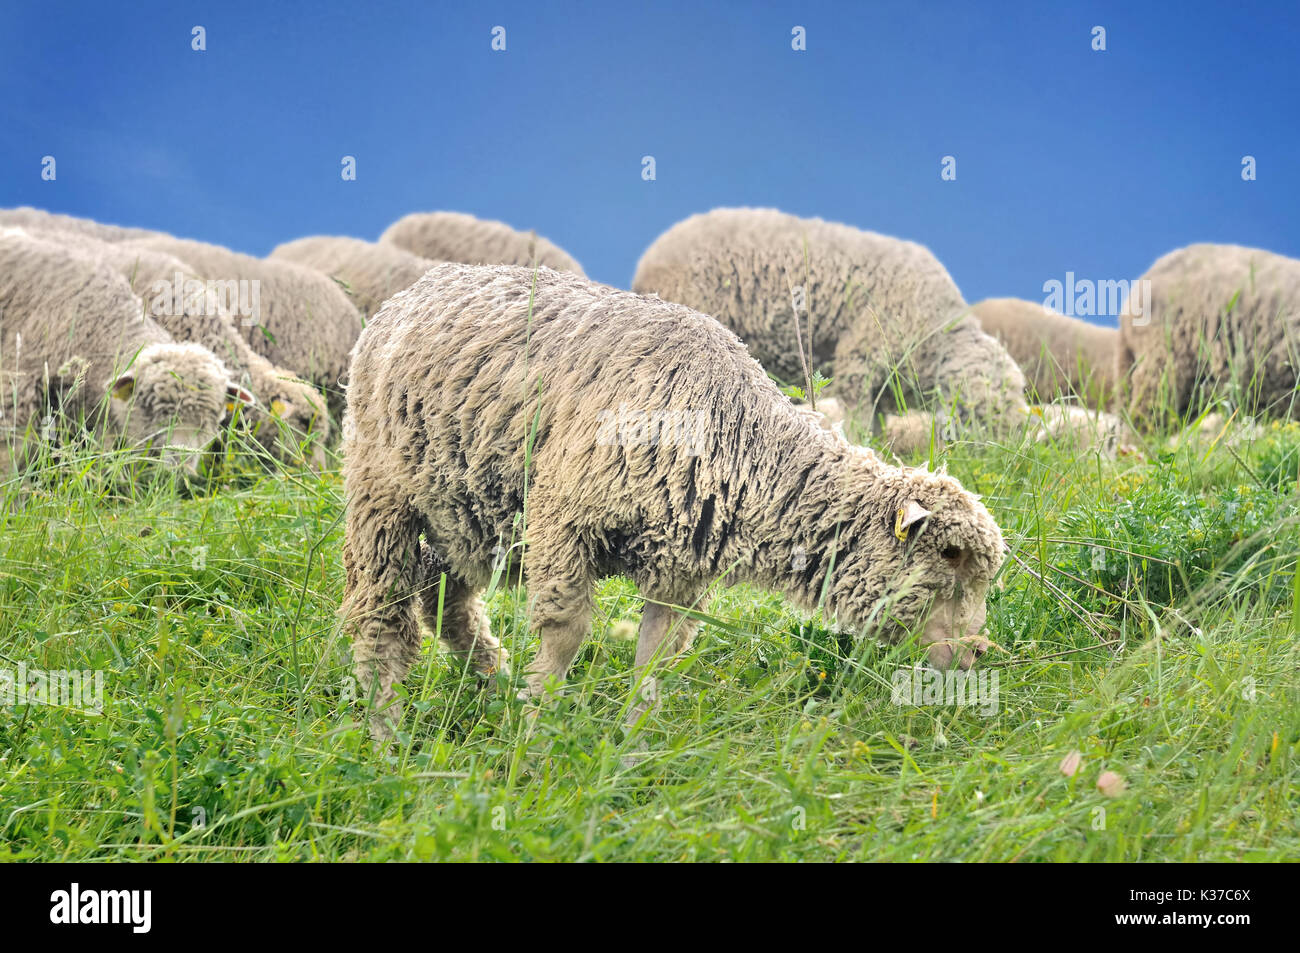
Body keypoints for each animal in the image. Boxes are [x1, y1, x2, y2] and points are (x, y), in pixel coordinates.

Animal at [340, 263, 1007, 739]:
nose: (976, 651)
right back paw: (386, 733)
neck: (741, 440)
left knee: (444, 597)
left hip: (468, 511)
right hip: (381, 493)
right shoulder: (565, 521)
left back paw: (492, 681)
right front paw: (535, 729)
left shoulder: (680, 571)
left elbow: (653, 660)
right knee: (381, 617)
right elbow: (565, 636)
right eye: (949, 555)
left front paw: (628, 747)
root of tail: (412, 291)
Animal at [632, 208, 1027, 435]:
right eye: (988, 412)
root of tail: (650, 258)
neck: (937, 332)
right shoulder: (861, 359)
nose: (1008, 457)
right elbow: (860, 421)